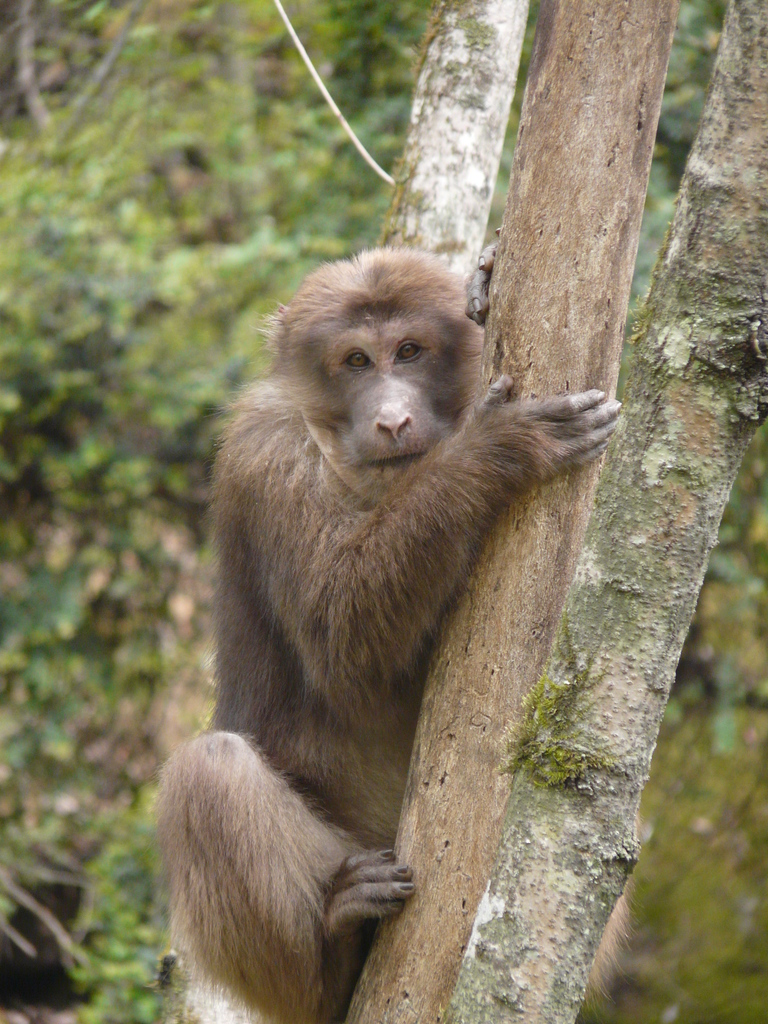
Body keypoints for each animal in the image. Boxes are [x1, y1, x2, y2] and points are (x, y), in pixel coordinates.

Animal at [156, 247, 621, 1024]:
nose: (394, 419)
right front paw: (492, 451)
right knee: (209, 771)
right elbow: (342, 643)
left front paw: (479, 288)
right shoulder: (264, 453)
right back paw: (335, 946)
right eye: (355, 361)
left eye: (409, 352)